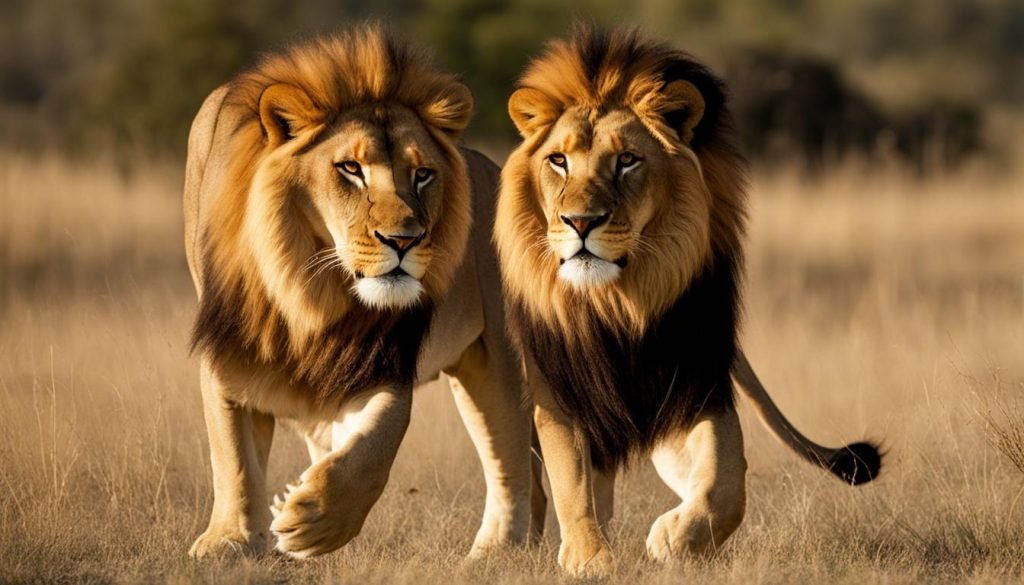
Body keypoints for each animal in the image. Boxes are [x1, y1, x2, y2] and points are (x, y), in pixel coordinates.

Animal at [183, 26, 537, 560]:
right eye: (350, 168)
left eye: (423, 174)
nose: (405, 240)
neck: (307, 290)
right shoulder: (229, 345)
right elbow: (233, 453)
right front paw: (231, 540)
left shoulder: (380, 356)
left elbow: (375, 446)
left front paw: (314, 521)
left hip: (501, 362)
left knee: (514, 460)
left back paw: (499, 552)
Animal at [494, 26, 883, 576]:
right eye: (558, 161)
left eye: (627, 161)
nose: (581, 222)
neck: (618, 306)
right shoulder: (559, 395)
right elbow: (572, 482)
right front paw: (590, 559)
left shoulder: (694, 387)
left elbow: (726, 482)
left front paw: (675, 540)